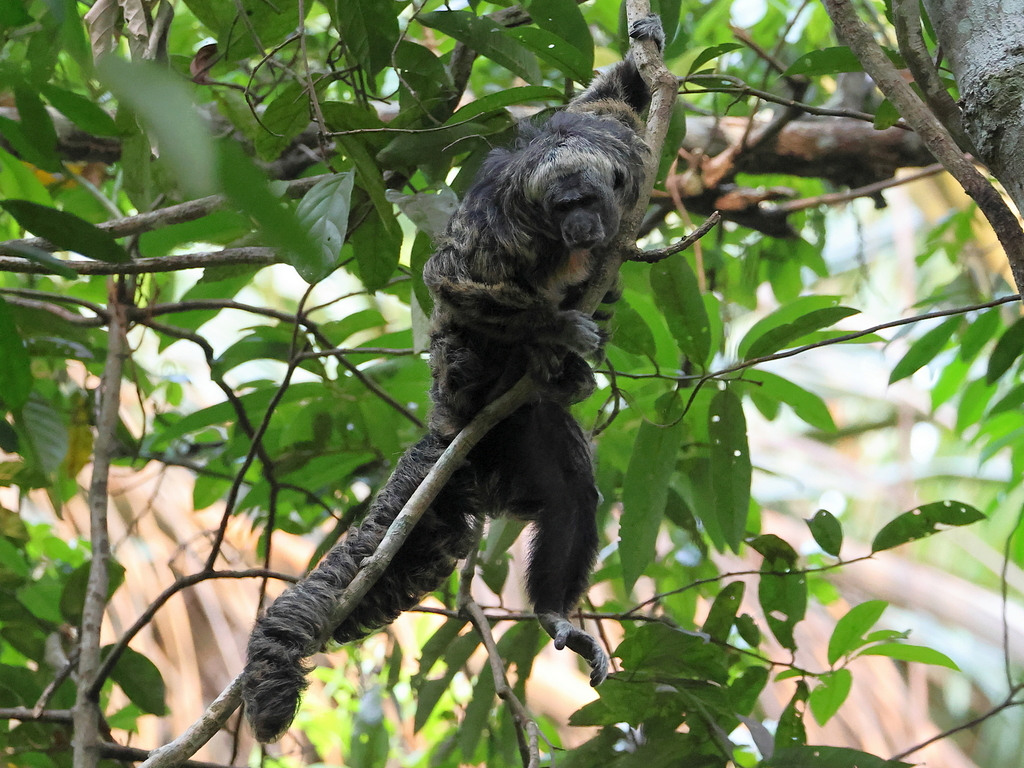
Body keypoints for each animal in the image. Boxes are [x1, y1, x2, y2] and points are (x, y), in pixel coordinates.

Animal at [242, 14, 664, 744]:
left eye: (586, 201)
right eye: (560, 208)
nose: (583, 224)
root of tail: (450, 429)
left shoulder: (624, 154)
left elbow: (617, 96)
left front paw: (645, 46)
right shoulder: (507, 231)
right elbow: (453, 282)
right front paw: (556, 329)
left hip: (523, 438)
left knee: (570, 496)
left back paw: (554, 610)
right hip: (466, 387)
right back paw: (549, 363)